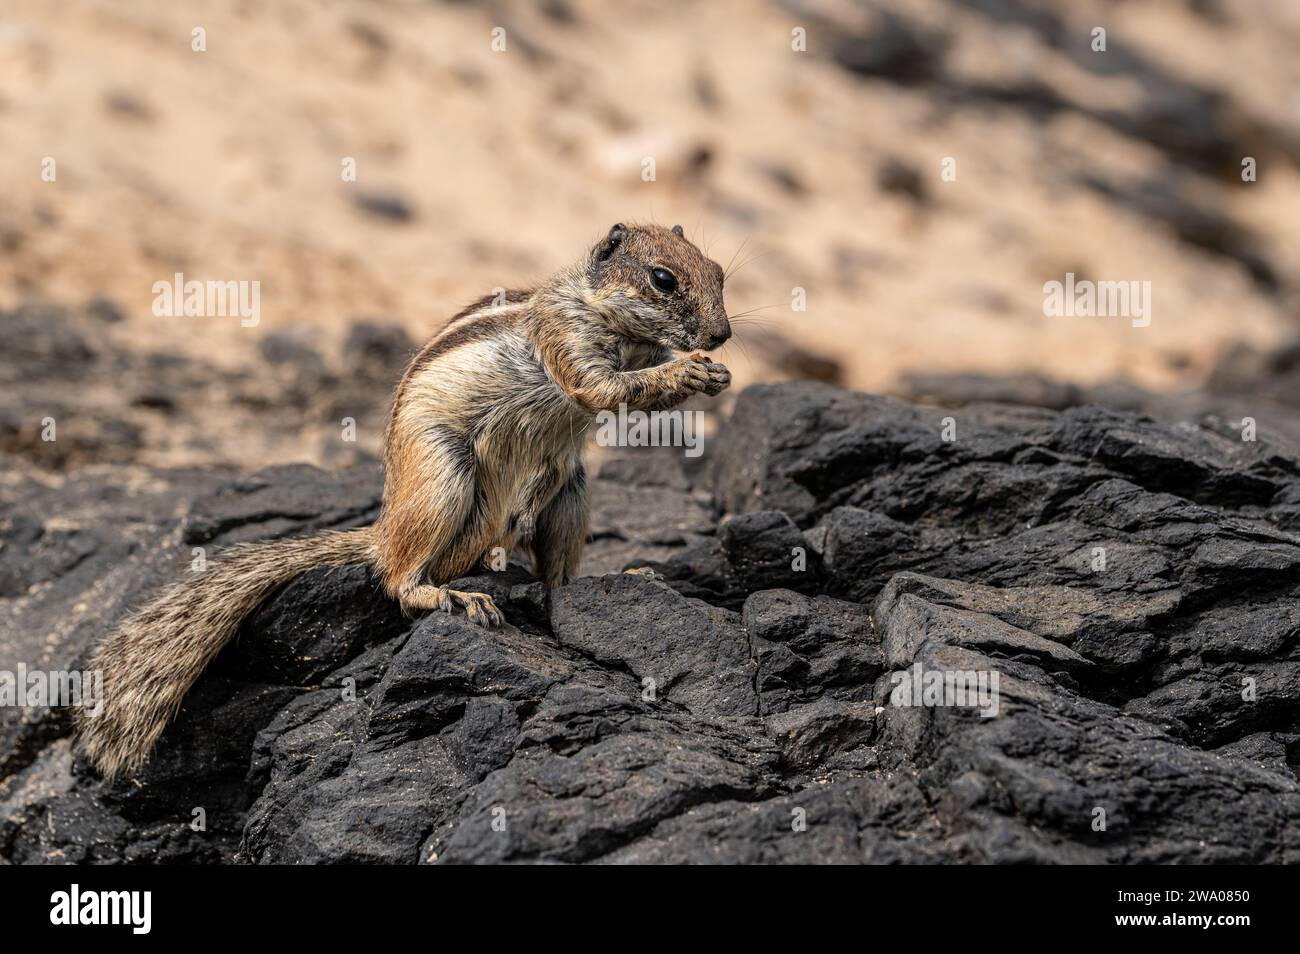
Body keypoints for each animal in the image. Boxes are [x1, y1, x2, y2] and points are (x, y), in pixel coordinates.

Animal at [76, 222, 733, 779]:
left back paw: (605, 578)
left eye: (719, 271)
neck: (615, 323)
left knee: (554, 563)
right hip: (444, 479)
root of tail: (383, 526)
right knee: (397, 577)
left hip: (571, 491)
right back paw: (452, 596)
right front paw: (690, 374)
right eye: (663, 279)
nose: (721, 336)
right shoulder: (566, 340)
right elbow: (598, 387)